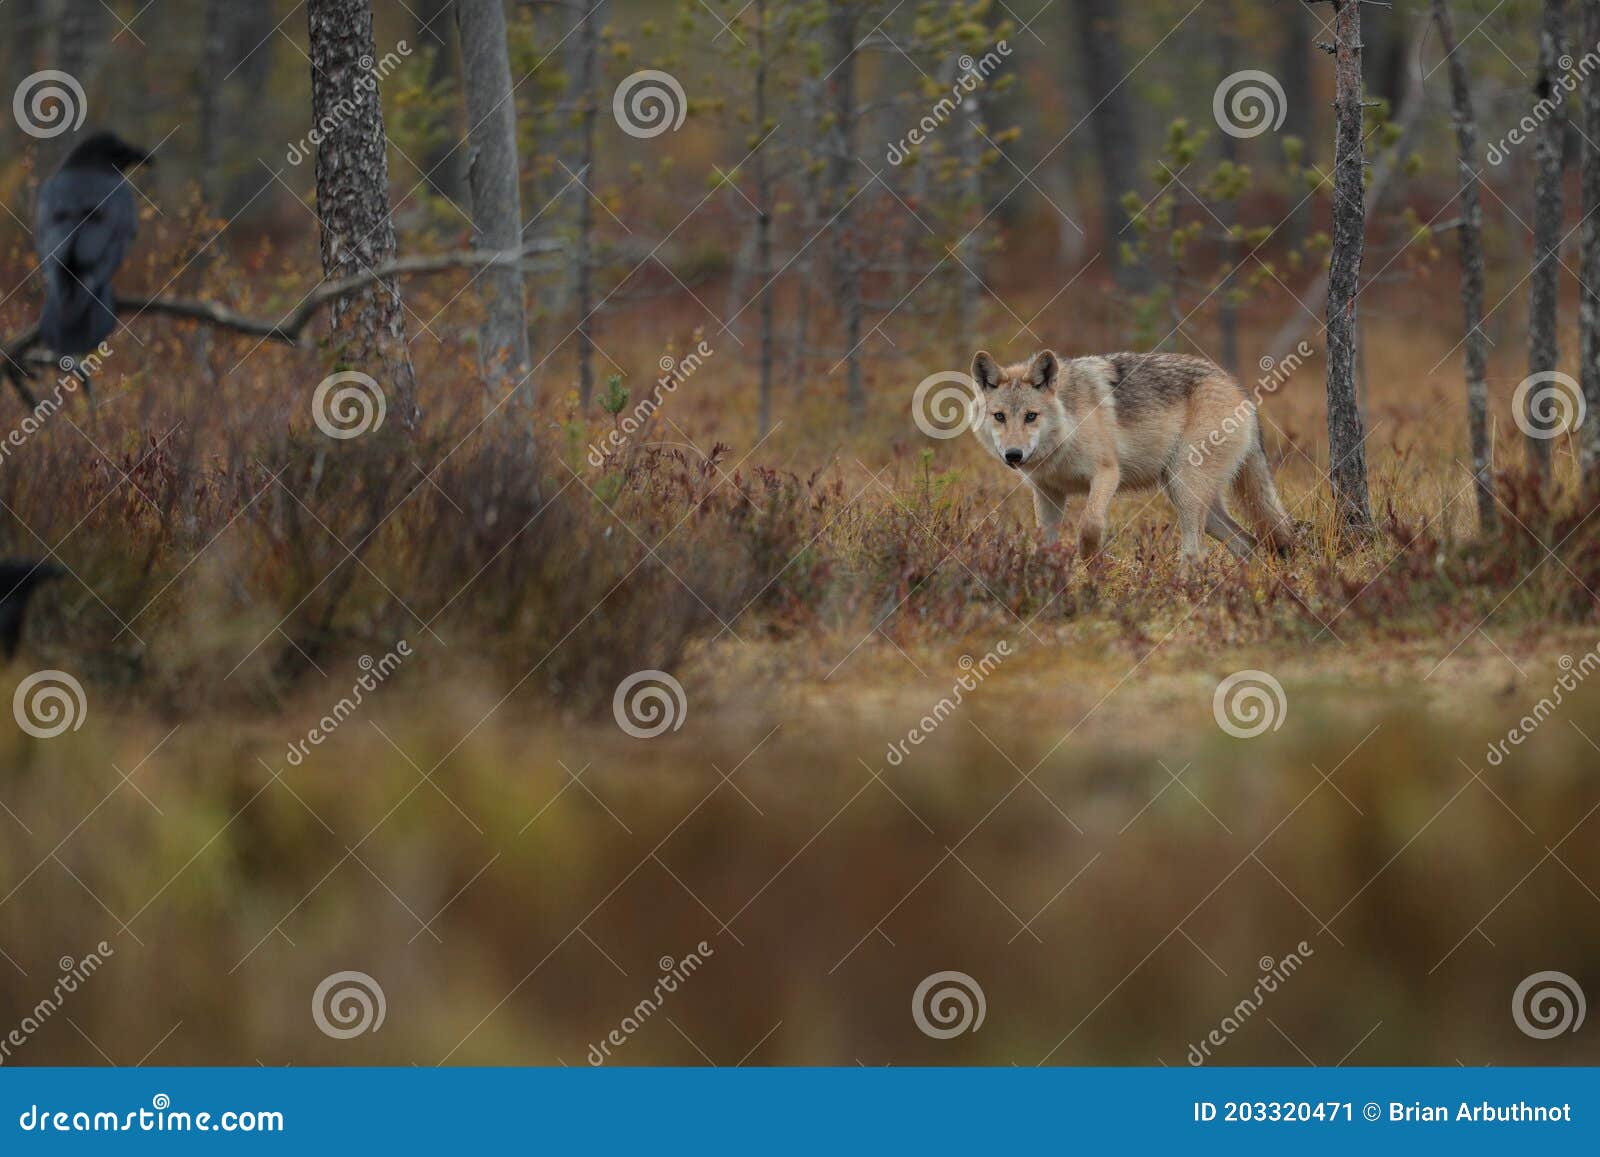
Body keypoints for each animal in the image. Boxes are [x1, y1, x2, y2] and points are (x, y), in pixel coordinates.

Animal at [969, 349, 1295, 568]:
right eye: (999, 417)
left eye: (1030, 416)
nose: (1013, 454)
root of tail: (1238, 389)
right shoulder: (1048, 492)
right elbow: (1045, 545)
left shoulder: (1107, 474)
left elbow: (1089, 526)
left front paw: (1095, 566)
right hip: (1197, 502)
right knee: (1247, 544)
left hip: (1185, 490)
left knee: (1195, 553)